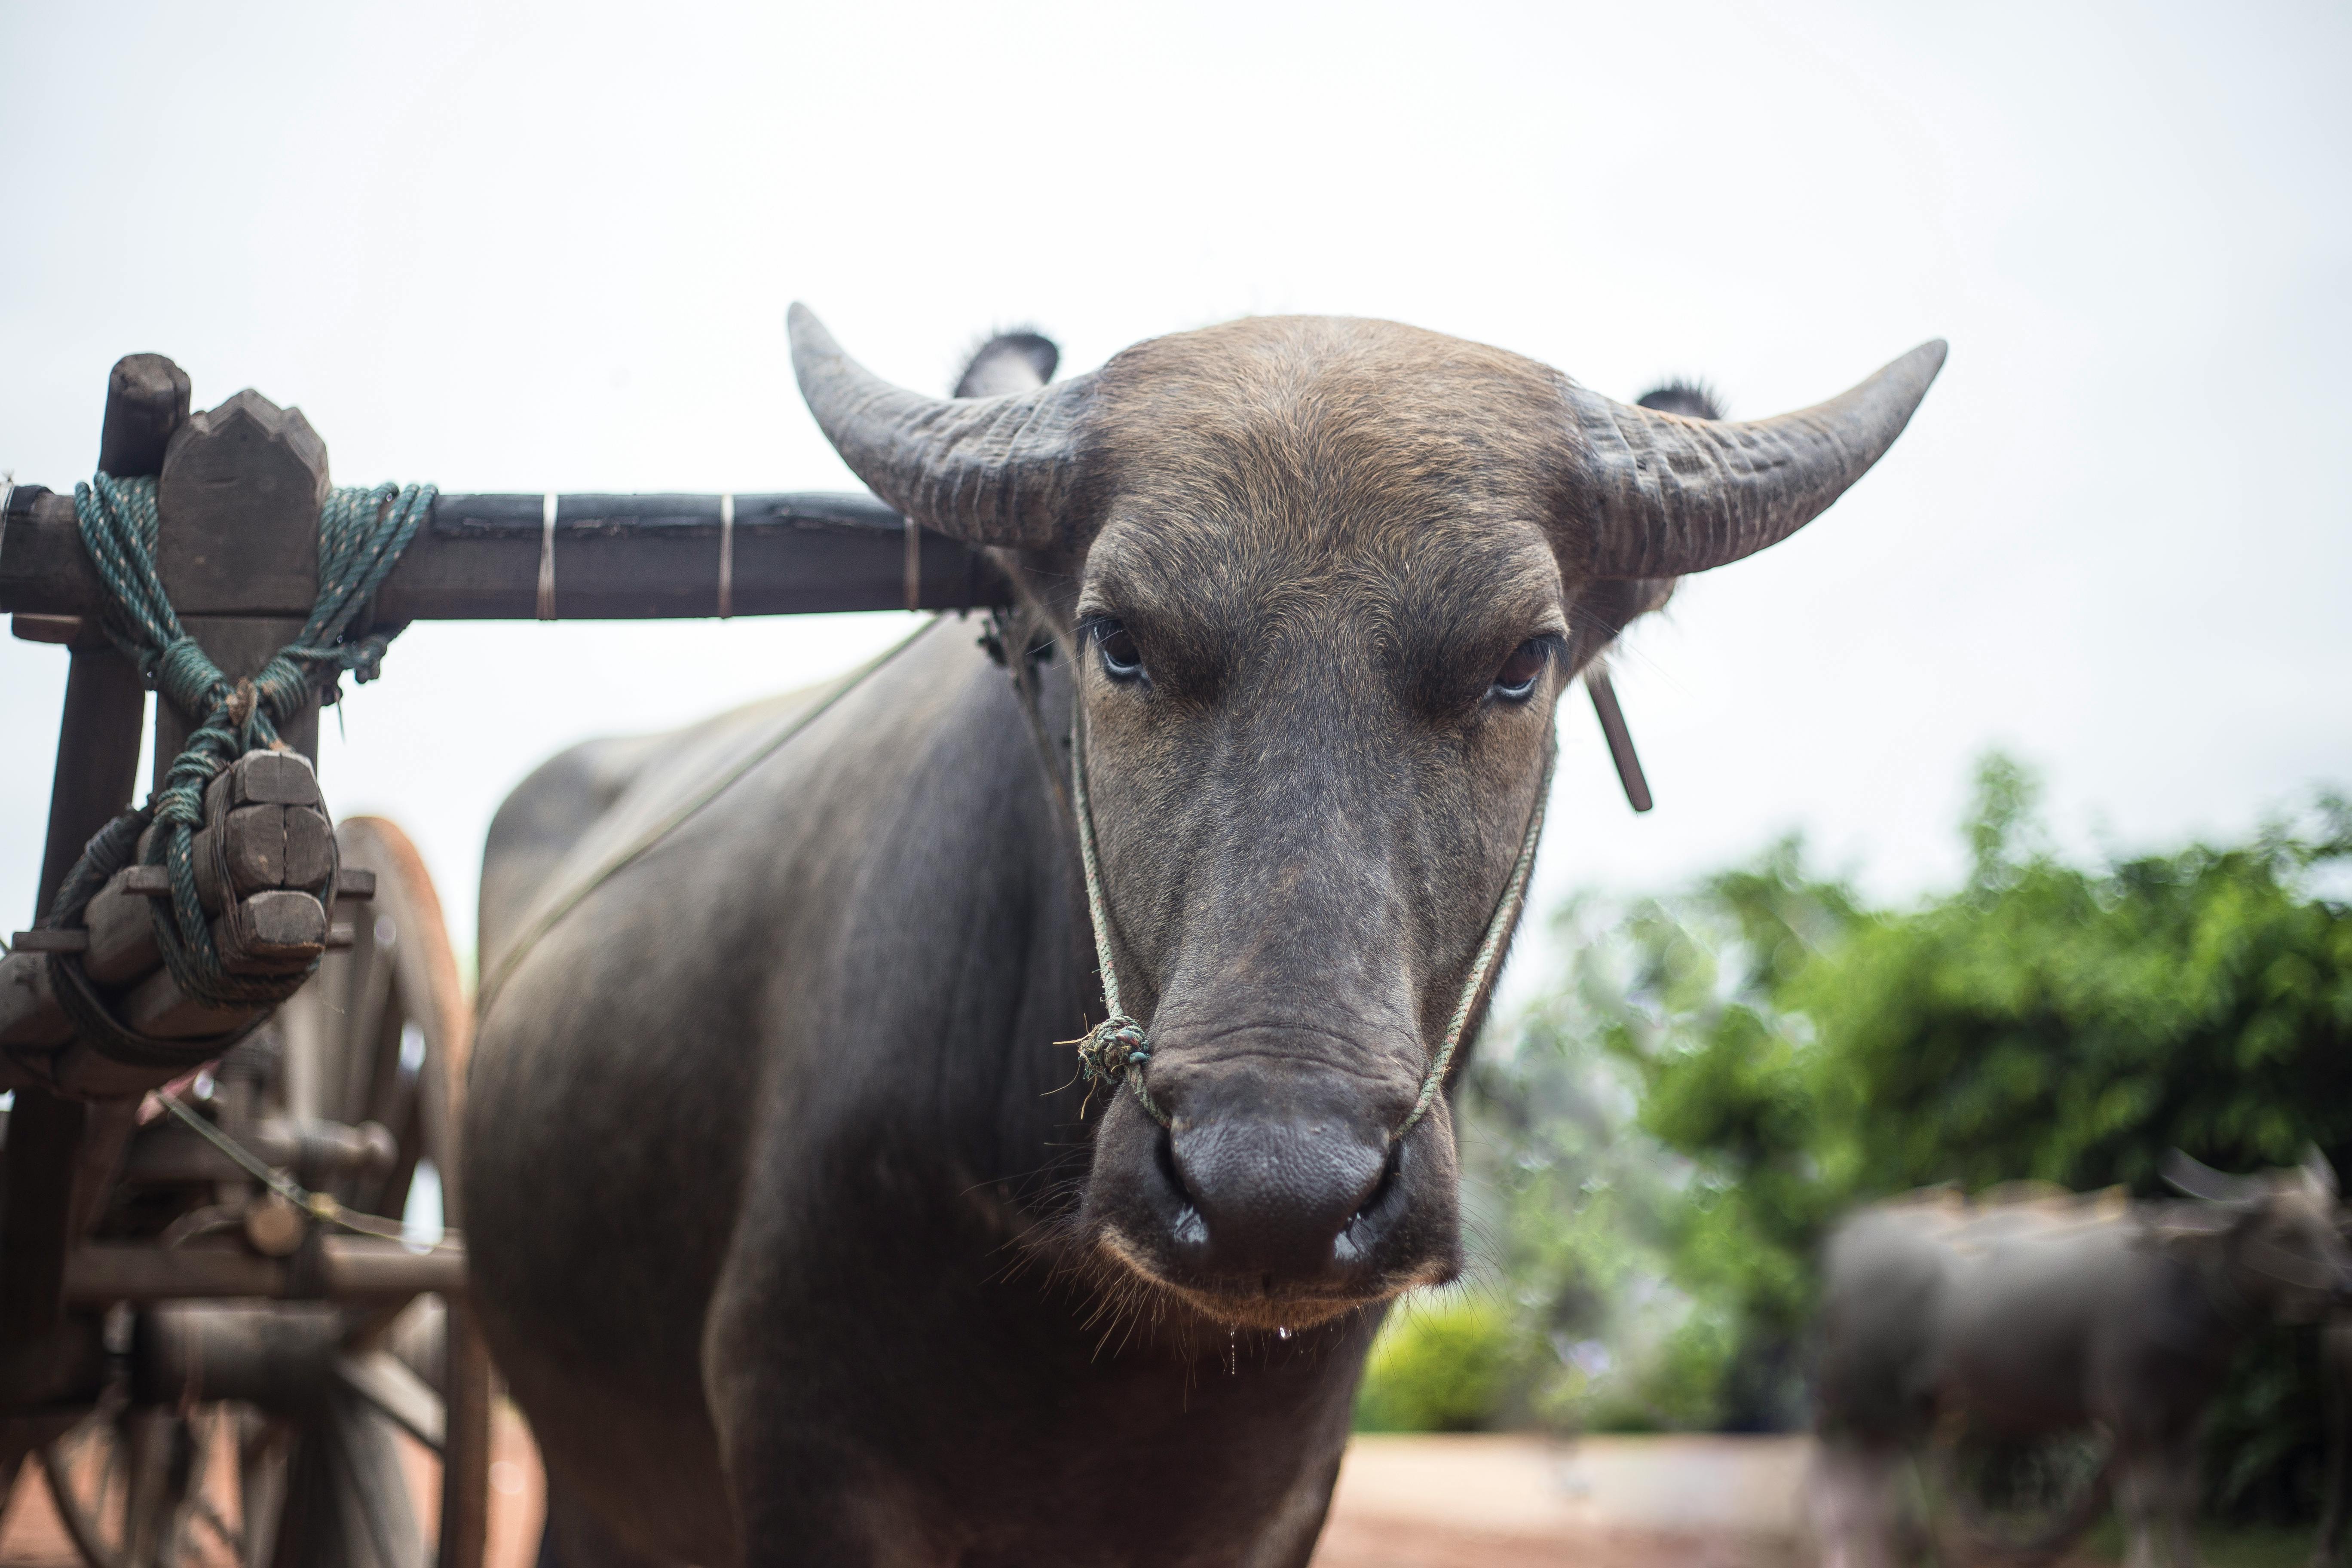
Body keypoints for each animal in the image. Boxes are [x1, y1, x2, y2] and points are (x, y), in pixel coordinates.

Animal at [463, 307, 1944, 1567]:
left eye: (1523, 660)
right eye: (1115, 639)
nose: (1270, 1191)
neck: (1099, 1345)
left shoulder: (1278, 1500)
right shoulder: (807, 1453)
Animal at [1810, 1155, 2352, 1568]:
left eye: (2327, 1223)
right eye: (2285, 1231)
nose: (2341, 1287)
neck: (2178, 1290)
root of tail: (1854, 1243)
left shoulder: (2190, 1417)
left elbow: (2185, 1502)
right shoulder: (2128, 1414)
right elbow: (2142, 1504)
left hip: (1903, 1409)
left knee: (1872, 1492)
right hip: (1869, 1404)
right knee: (1854, 1493)